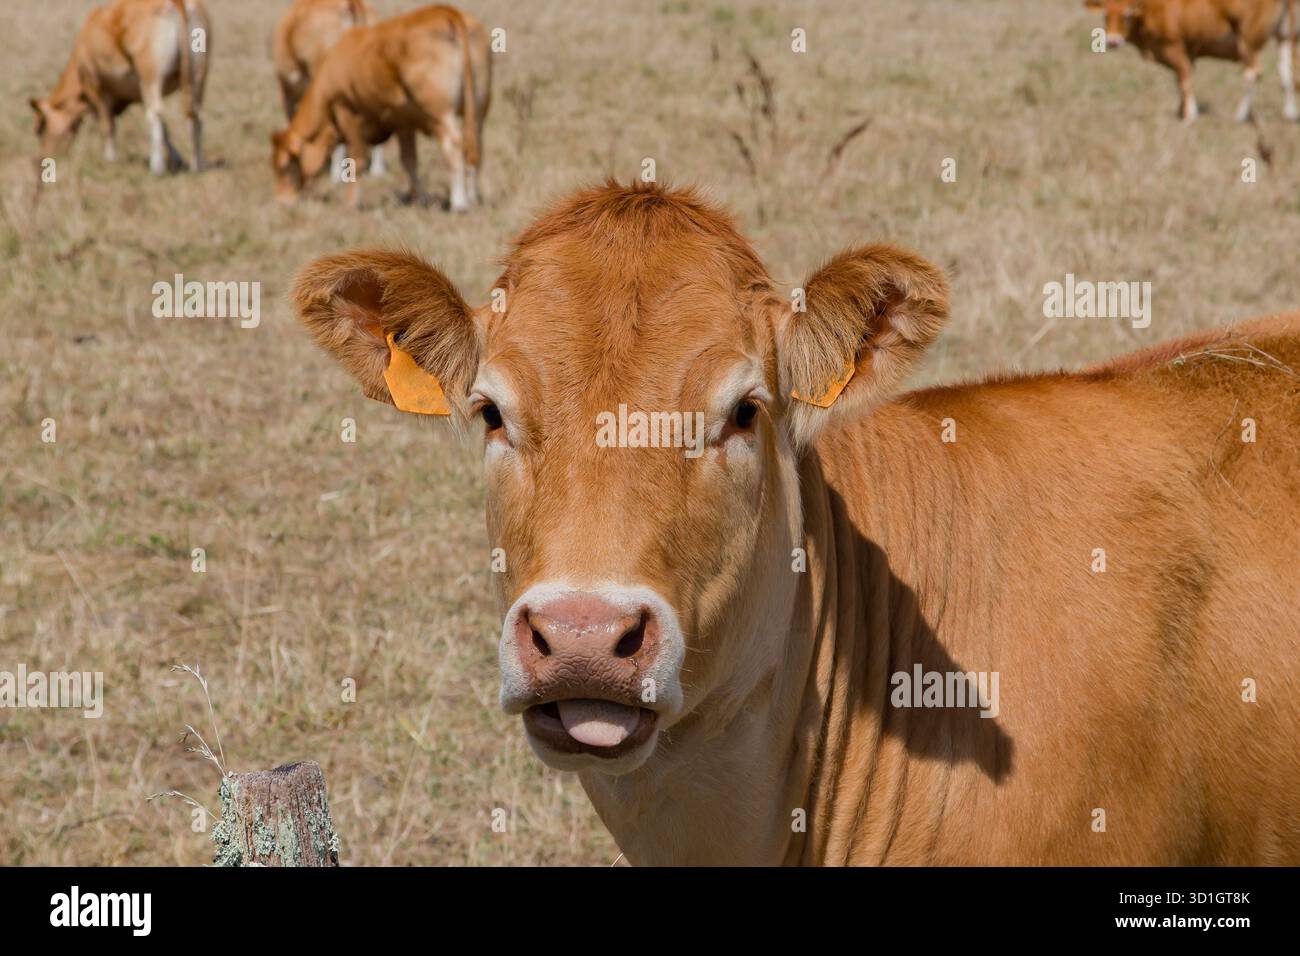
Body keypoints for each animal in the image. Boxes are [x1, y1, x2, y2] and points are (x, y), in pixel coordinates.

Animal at [30, 0, 211, 175]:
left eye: (40, 129)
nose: (42, 157)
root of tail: (177, 2)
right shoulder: (138, 92)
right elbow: (165, 129)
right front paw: (176, 159)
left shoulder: (95, 85)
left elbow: (107, 125)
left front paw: (110, 159)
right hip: (197, 75)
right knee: (195, 114)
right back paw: (197, 165)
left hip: (151, 75)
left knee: (156, 112)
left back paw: (156, 167)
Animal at [1084, 0, 1299, 122]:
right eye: (1105, 15)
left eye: (1127, 15)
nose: (1112, 41)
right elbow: (1181, 82)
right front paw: (1181, 111)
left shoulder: (1174, 47)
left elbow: (1184, 79)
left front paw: (1189, 116)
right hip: (1284, 36)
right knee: (1285, 71)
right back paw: (1289, 113)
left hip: (1248, 40)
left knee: (1253, 73)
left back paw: (1239, 115)